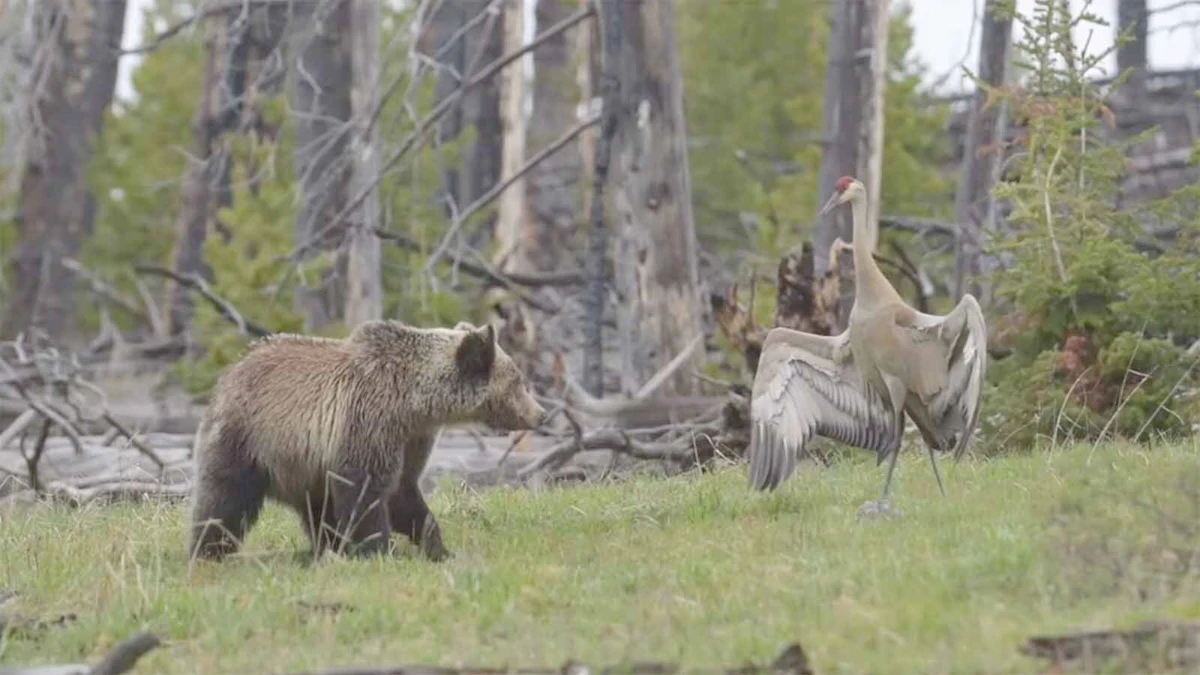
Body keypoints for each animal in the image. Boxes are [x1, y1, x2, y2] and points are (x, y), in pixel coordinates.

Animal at [187, 319, 545, 562]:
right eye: (518, 381)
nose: (540, 414)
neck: (415, 402)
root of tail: (229, 371)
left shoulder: (412, 438)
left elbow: (403, 492)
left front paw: (437, 546)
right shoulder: (370, 421)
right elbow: (366, 492)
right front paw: (378, 549)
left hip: (306, 467)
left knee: (319, 510)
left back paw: (327, 549)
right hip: (251, 438)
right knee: (225, 498)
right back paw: (208, 551)